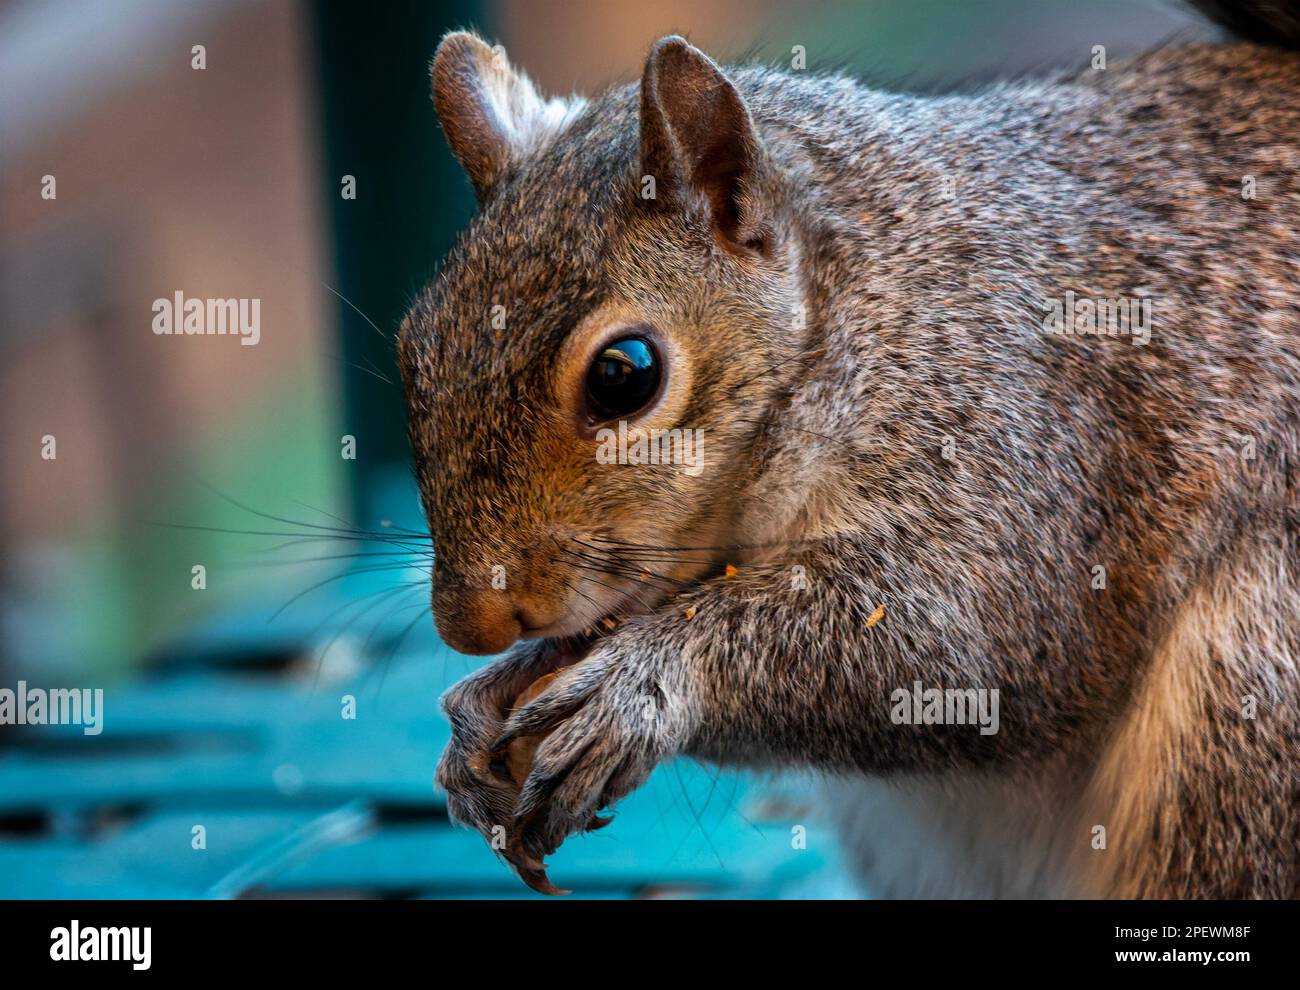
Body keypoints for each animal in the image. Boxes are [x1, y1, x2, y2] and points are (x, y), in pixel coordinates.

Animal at [398, 1, 1300, 898]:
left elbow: (965, 646)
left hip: (1245, 712)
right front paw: (487, 703)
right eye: (414, 346)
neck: (871, 295)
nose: (470, 624)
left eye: (626, 376)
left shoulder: (1021, 433)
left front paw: (637, 688)